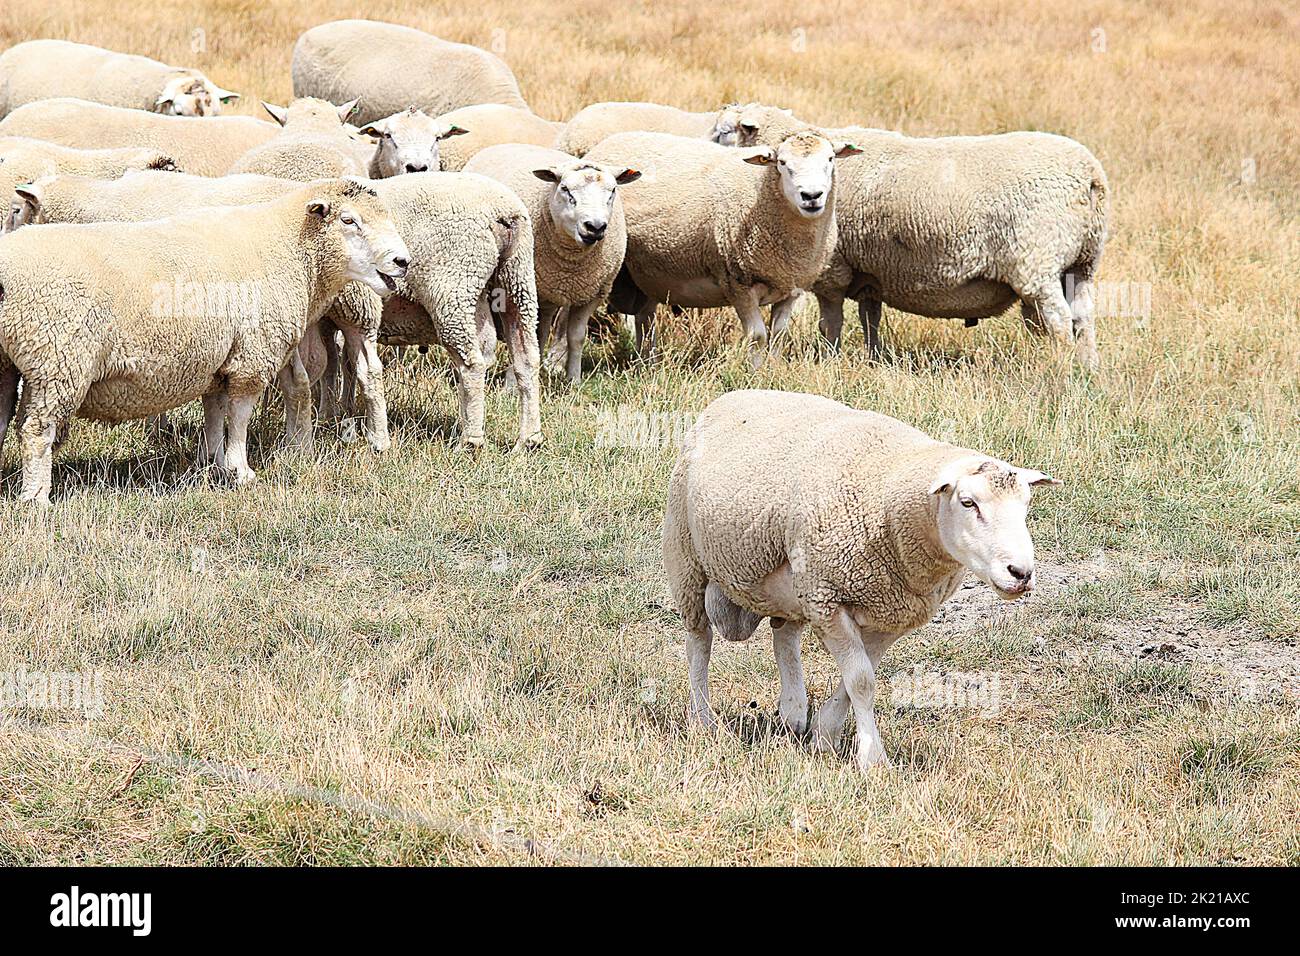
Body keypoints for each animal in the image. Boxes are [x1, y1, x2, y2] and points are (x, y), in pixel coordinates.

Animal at [0, 179, 410, 504]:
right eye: (348, 220)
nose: (402, 261)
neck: (288, 246)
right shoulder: (252, 357)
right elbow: (240, 416)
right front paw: (240, 471)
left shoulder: (218, 361)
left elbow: (215, 412)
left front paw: (214, 465)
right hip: (58, 362)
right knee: (36, 431)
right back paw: (35, 499)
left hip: (9, 364)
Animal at [464, 144, 639, 383]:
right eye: (565, 189)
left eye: (612, 191)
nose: (595, 227)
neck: (571, 266)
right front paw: (511, 383)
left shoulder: (592, 294)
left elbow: (576, 337)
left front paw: (573, 379)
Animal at [584, 130, 861, 366]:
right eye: (782, 163)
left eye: (830, 159)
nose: (811, 196)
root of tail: (610, 141)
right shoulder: (738, 284)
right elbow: (758, 336)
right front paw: (755, 373)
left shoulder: (791, 287)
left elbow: (779, 335)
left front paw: (772, 368)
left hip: (647, 273)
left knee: (645, 318)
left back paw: (648, 363)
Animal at [663, 389, 1061, 772]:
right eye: (967, 502)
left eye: (1026, 503)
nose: (1021, 573)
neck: (891, 501)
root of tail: (731, 396)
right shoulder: (828, 599)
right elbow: (861, 680)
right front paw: (873, 760)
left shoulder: (892, 614)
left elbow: (858, 677)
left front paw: (825, 734)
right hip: (686, 560)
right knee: (699, 642)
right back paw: (703, 719)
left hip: (793, 582)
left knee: (785, 637)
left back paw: (793, 713)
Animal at [725, 105, 1108, 367]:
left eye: (725, 130)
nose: (812, 197)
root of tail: (1088, 174)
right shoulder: (871, 270)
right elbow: (870, 317)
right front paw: (874, 359)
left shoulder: (834, 269)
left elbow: (831, 322)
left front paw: (830, 360)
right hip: (1082, 262)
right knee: (1083, 317)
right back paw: (1087, 369)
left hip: (1038, 261)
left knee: (1059, 320)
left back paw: (1061, 371)